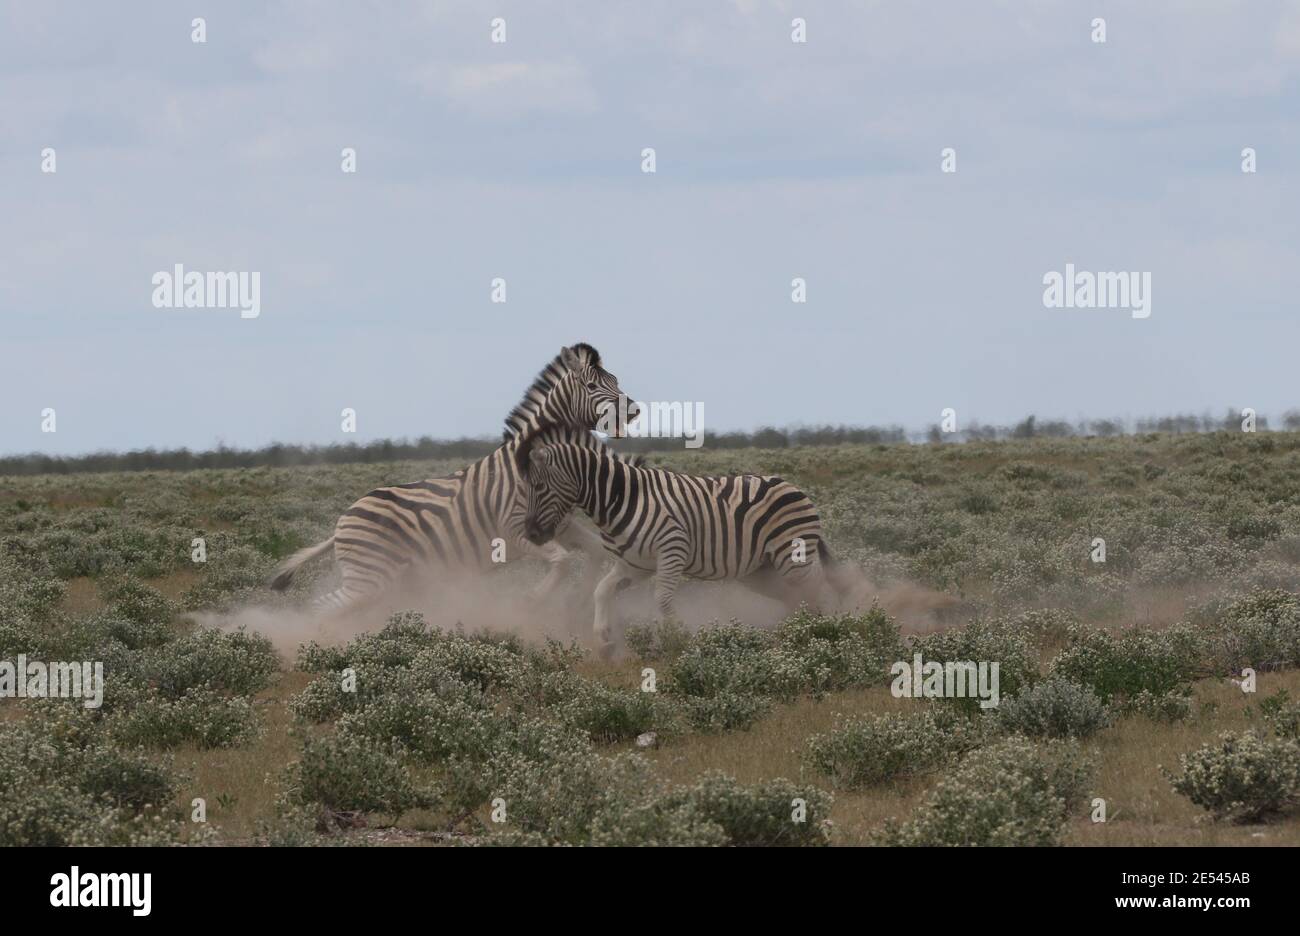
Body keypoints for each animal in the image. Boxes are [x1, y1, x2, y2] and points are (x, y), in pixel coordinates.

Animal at [268, 343, 638, 611]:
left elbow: (595, 552)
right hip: (367, 579)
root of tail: (342, 522)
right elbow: (562, 562)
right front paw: (533, 599)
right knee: (320, 607)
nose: (634, 410)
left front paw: (578, 599)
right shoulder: (515, 532)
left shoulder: (561, 526)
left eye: (616, 381)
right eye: (592, 385)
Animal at [514, 420, 844, 652]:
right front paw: (604, 639)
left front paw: (679, 638)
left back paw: (816, 628)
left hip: (791, 556)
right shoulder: (634, 565)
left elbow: (662, 600)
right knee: (794, 593)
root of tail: (794, 487)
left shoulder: (671, 550)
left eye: (539, 487)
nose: (530, 533)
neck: (623, 499)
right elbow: (601, 590)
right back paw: (791, 629)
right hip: (761, 570)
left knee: (814, 585)